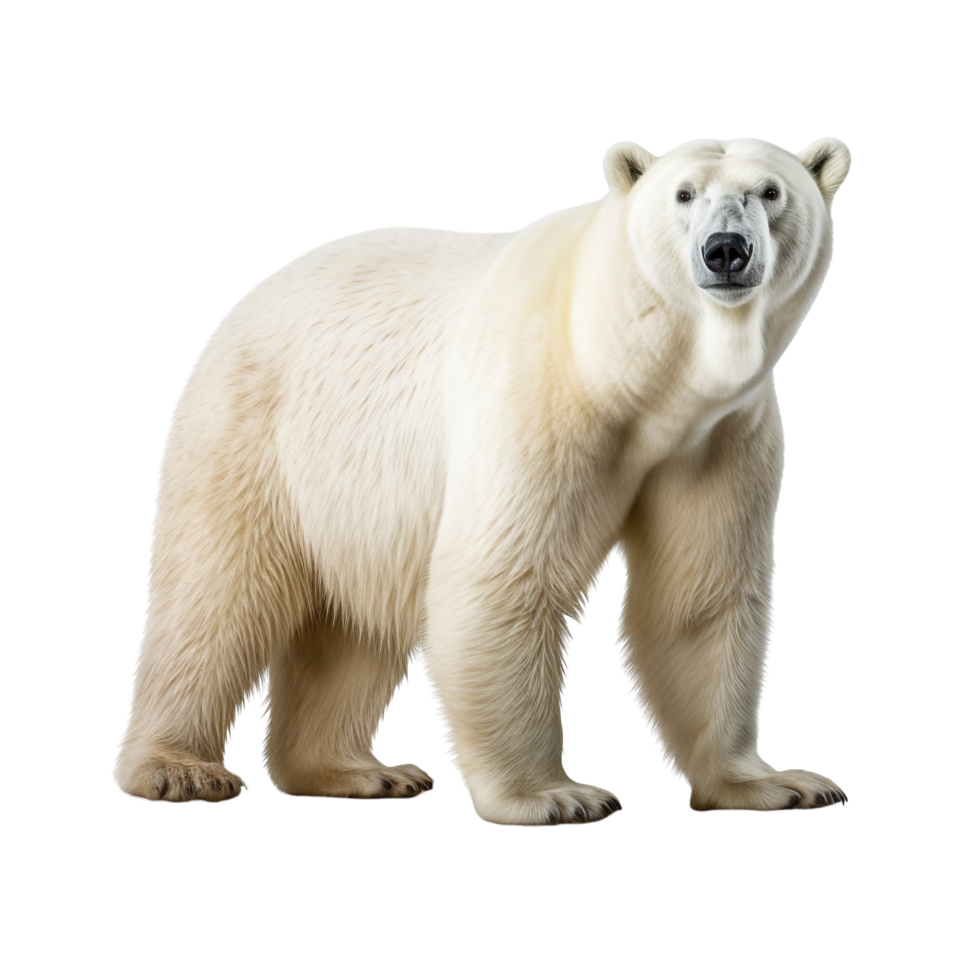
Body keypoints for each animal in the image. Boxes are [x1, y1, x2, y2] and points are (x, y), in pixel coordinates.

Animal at [111, 136, 852, 823]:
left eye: (769, 191)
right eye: (684, 194)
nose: (726, 250)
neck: (637, 373)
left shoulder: (718, 437)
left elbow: (699, 598)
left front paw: (775, 784)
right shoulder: (539, 396)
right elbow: (505, 575)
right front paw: (556, 796)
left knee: (351, 622)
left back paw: (359, 772)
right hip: (254, 432)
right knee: (216, 594)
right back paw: (179, 772)